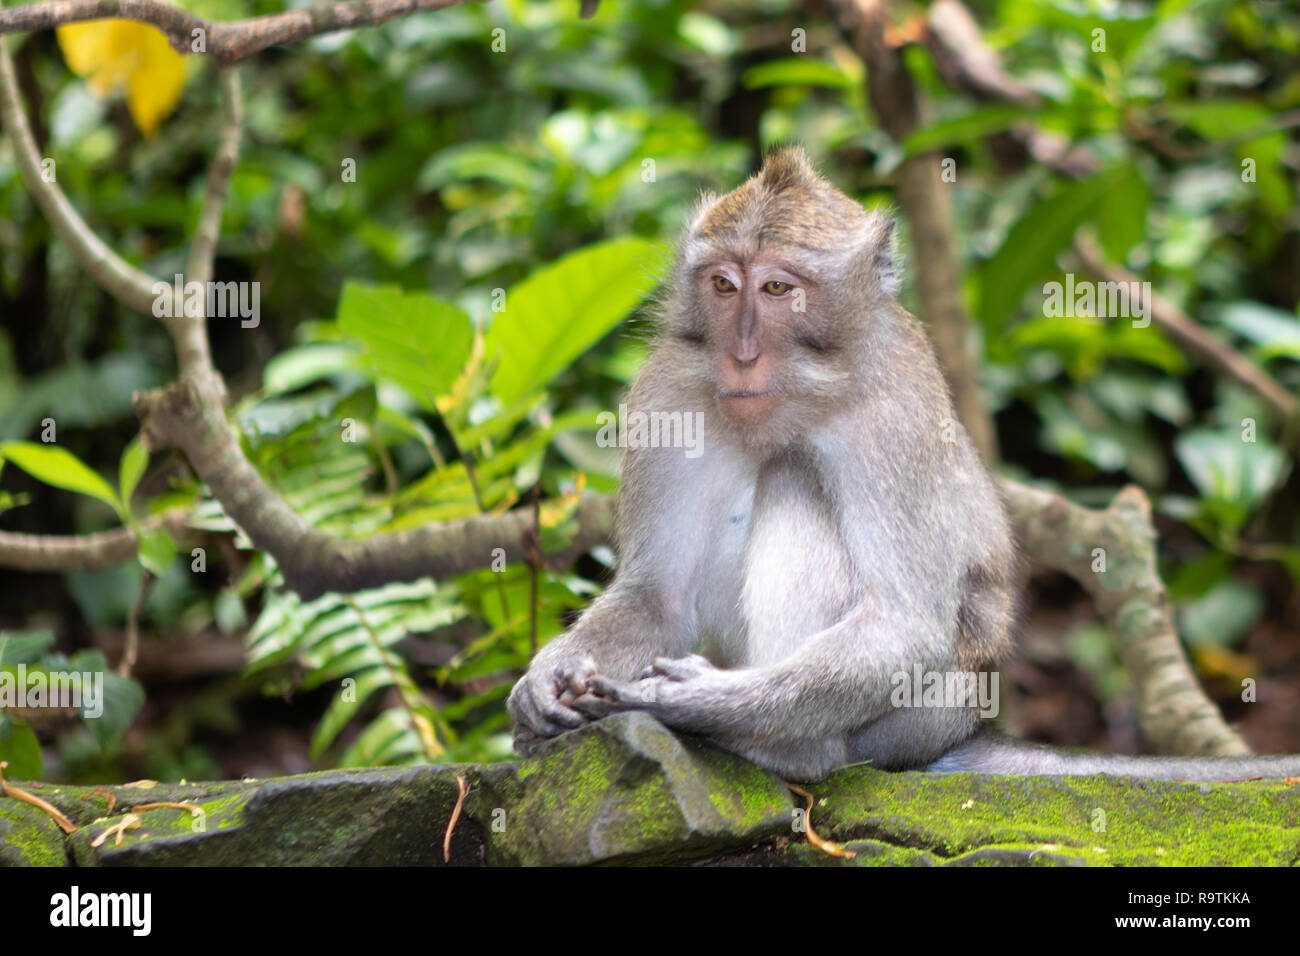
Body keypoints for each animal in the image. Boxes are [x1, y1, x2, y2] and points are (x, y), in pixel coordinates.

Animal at [507, 145, 1300, 783]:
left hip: (923, 712)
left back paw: (784, 751)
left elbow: (903, 626)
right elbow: (658, 597)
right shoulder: (667, 389)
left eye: (778, 288)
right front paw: (544, 681)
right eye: (724, 285)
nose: (741, 355)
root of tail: (961, 730)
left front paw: (699, 702)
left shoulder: (899, 414)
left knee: (796, 479)